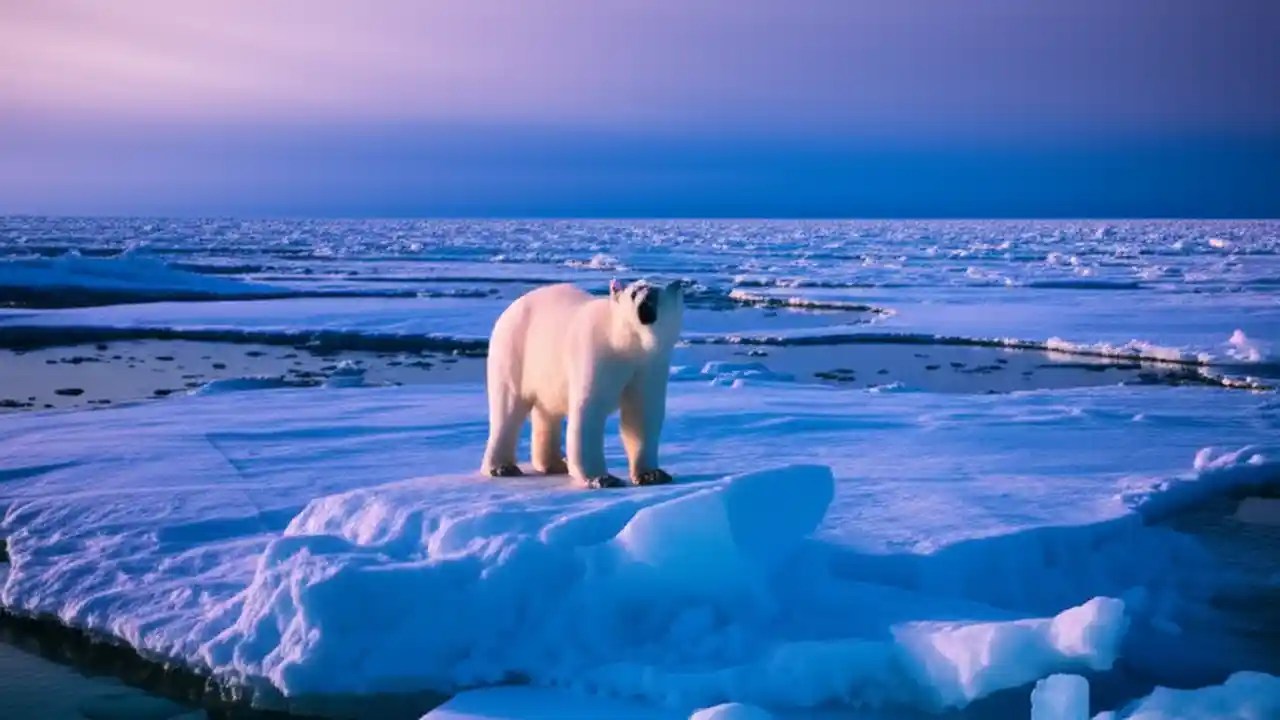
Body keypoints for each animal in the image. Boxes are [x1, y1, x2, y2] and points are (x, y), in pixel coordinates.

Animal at [481, 279, 684, 488]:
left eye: (655, 295)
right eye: (634, 294)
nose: (645, 306)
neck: (627, 345)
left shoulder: (650, 366)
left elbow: (641, 414)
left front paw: (652, 474)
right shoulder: (597, 355)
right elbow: (589, 411)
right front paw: (601, 478)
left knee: (547, 413)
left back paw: (556, 463)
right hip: (514, 351)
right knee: (508, 409)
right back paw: (502, 468)